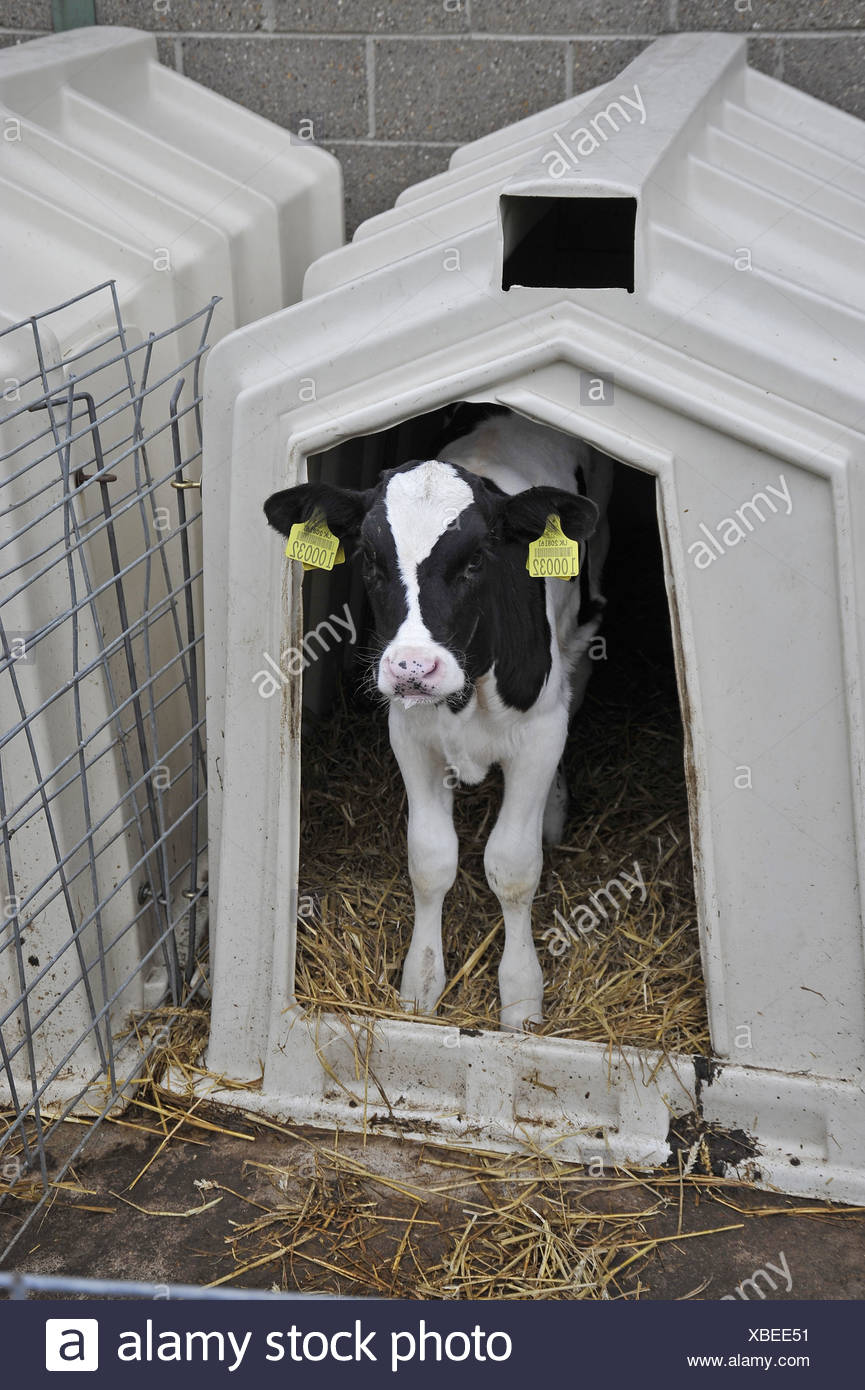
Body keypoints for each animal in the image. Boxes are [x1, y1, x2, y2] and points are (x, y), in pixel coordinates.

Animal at [264, 409, 613, 1031]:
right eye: (371, 559)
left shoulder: (540, 733)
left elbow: (513, 865)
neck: (464, 694)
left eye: (476, 560)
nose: (412, 666)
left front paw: (521, 997)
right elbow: (430, 858)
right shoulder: (410, 734)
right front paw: (421, 983)